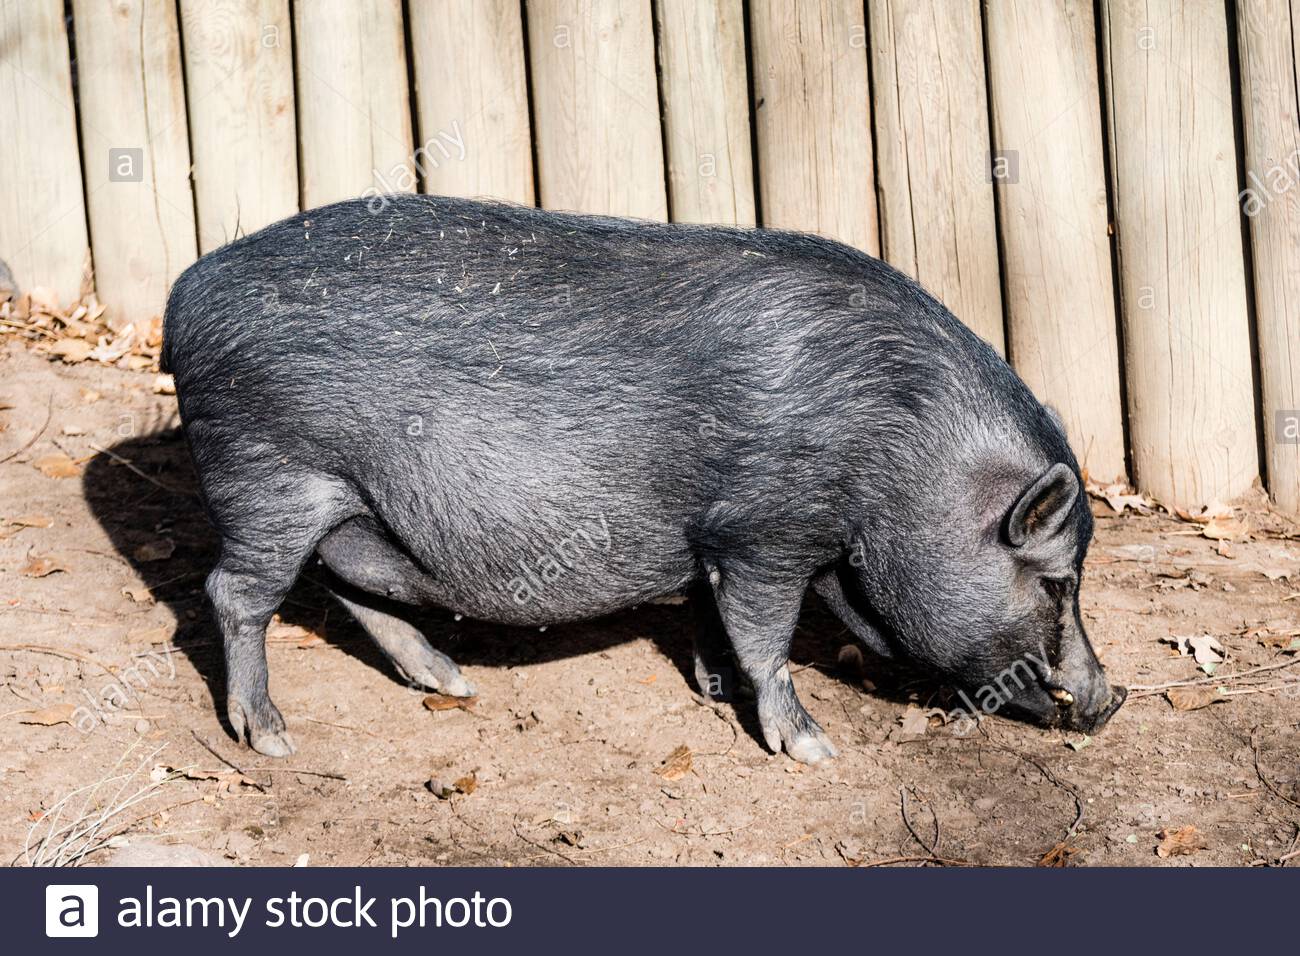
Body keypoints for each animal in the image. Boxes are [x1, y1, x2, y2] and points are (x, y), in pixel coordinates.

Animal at [162, 194, 1126, 763]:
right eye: (1057, 580)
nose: (1109, 701)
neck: (900, 455)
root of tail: (184, 294)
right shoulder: (764, 532)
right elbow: (766, 635)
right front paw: (810, 750)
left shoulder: (715, 546)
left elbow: (712, 620)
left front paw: (711, 689)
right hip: (269, 474)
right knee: (234, 593)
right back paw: (271, 740)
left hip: (354, 508)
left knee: (345, 583)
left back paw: (452, 681)